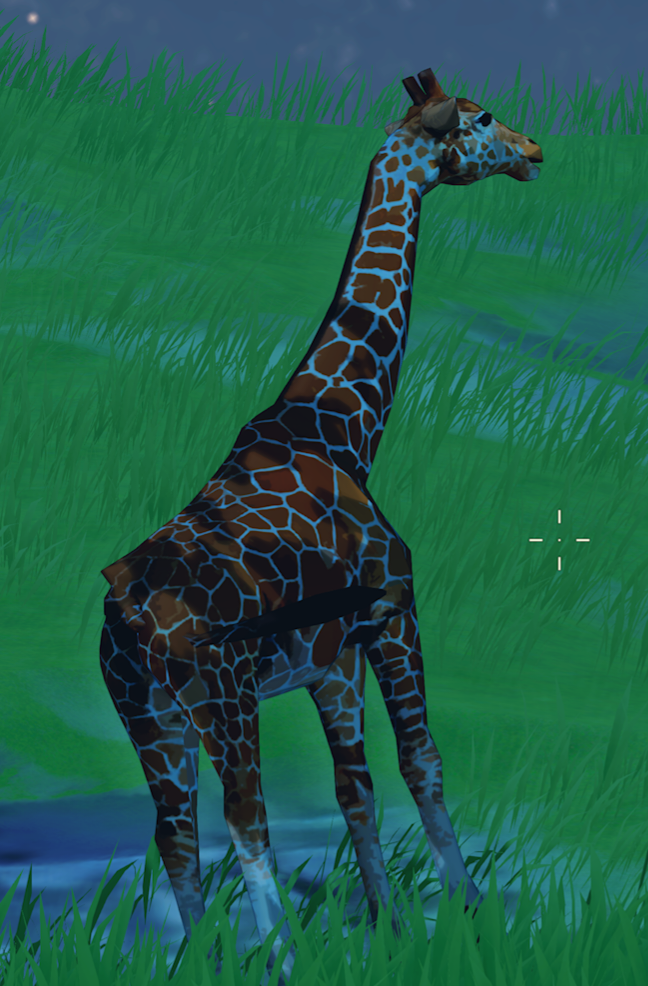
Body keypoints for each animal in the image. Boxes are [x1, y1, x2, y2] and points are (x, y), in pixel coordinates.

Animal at [99, 66, 542, 980]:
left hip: (147, 713)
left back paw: (207, 960)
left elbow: (355, 788)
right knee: (245, 821)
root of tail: (129, 613)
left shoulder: (329, 660)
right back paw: (280, 957)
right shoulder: (394, 607)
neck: (344, 425)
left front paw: (393, 930)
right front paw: (472, 921)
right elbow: (423, 764)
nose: (534, 149)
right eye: (483, 118)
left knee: (175, 833)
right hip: (221, 699)